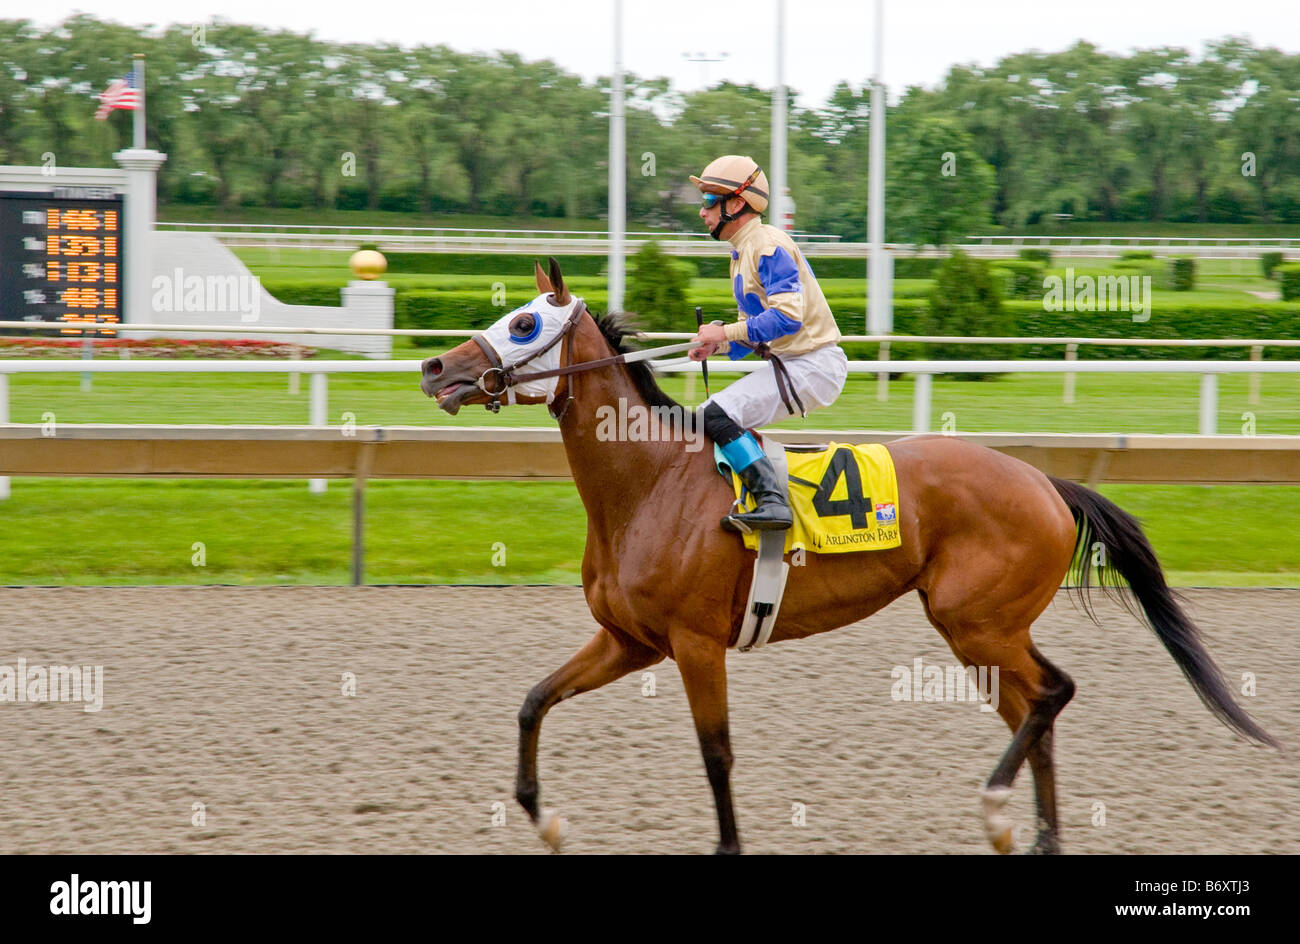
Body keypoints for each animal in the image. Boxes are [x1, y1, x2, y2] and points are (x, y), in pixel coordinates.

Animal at [419, 258, 1277, 855]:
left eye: (523, 324)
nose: (435, 368)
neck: (649, 482)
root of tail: (1044, 481)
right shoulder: (630, 641)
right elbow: (534, 701)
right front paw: (548, 820)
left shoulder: (695, 644)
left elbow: (716, 754)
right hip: (987, 631)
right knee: (1036, 708)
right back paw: (1033, 834)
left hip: (975, 622)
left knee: (1052, 693)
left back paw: (997, 810)